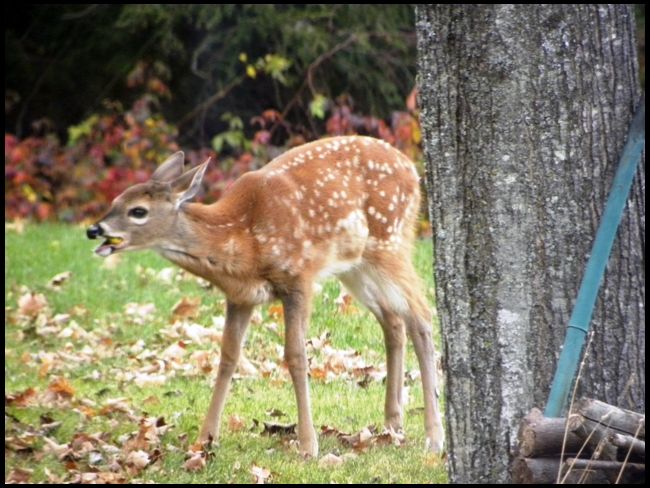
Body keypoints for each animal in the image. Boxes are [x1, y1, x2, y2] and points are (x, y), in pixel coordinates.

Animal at [86, 135, 444, 457]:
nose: (94, 229)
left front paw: (308, 446)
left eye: (138, 211)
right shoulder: (240, 296)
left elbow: (296, 356)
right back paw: (393, 424)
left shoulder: (298, 279)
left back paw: (434, 437)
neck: (242, 239)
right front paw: (205, 439)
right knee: (394, 321)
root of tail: (411, 169)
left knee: (421, 314)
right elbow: (228, 357)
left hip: (390, 241)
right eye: (116, 200)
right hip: (356, 266)